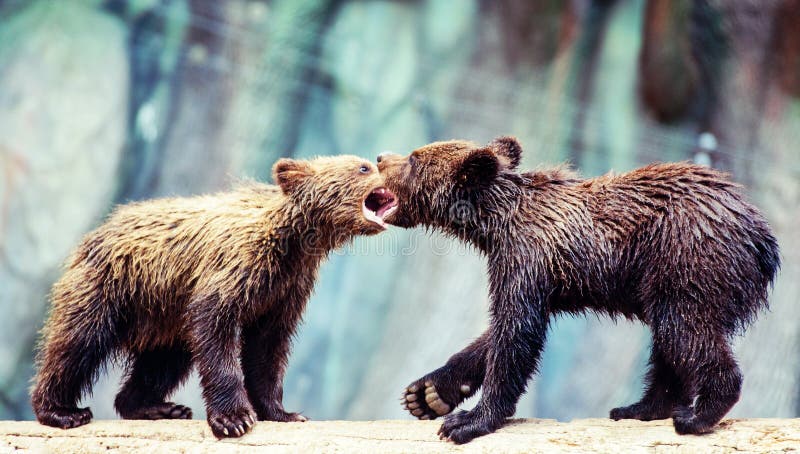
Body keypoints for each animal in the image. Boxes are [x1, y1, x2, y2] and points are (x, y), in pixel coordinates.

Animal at [30, 155, 398, 438]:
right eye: (364, 166)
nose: (386, 162)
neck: (294, 242)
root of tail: (97, 231)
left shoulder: (285, 292)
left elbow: (268, 351)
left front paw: (284, 412)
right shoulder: (235, 270)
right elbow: (216, 330)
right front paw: (234, 419)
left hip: (164, 317)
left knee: (162, 363)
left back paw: (160, 406)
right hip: (113, 289)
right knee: (75, 345)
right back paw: (61, 410)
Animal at [376, 137, 780, 444]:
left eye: (413, 159)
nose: (381, 157)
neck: (494, 225)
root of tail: (762, 237)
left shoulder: (527, 259)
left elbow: (516, 333)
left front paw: (468, 421)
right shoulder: (543, 278)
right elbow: (497, 334)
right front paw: (428, 393)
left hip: (688, 260)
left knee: (686, 332)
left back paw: (698, 415)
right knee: (670, 343)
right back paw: (637, 408)